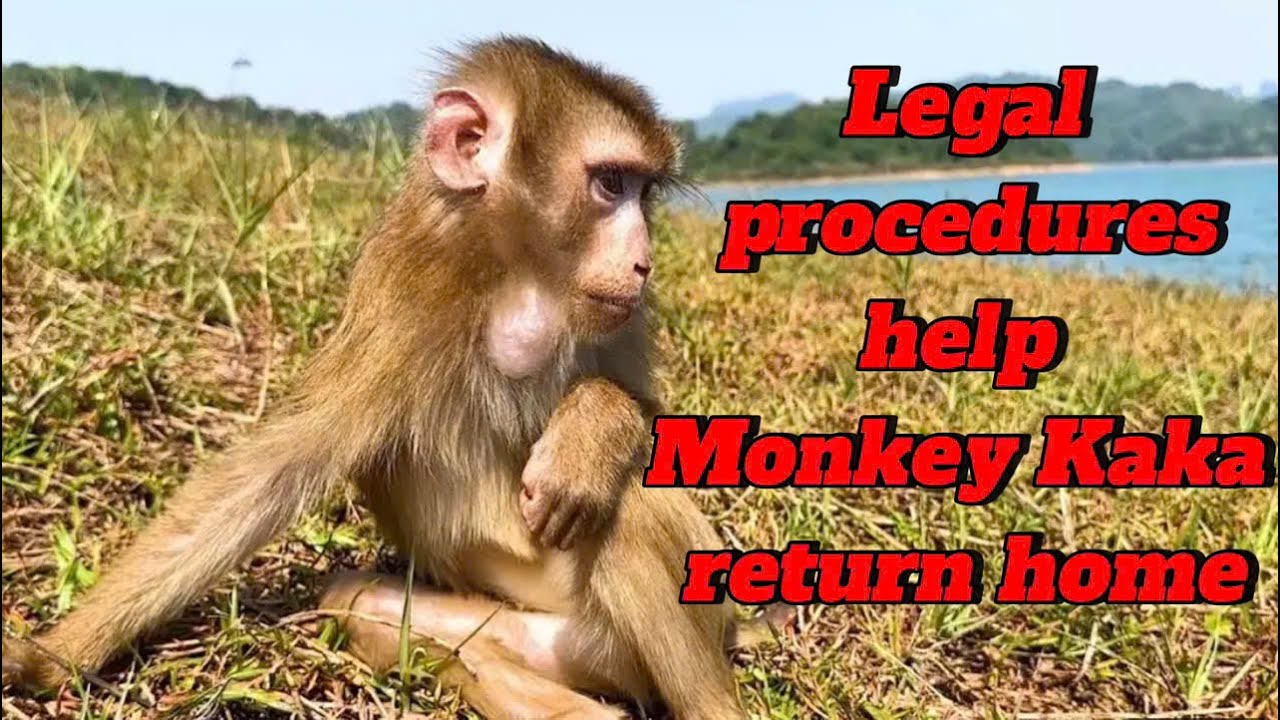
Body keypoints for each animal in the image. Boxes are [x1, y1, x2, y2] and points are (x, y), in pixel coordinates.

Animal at [2, 37, 792, 719]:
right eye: (609, 184)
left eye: (644, 192)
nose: (642, 260)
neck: (515, 279)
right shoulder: (396, 312)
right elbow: (266, 479)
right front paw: (55, 655)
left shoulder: (620, 316)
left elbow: (654, 425)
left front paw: (592, 431)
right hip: (541, 636)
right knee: (357, 603)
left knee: (625, 504)